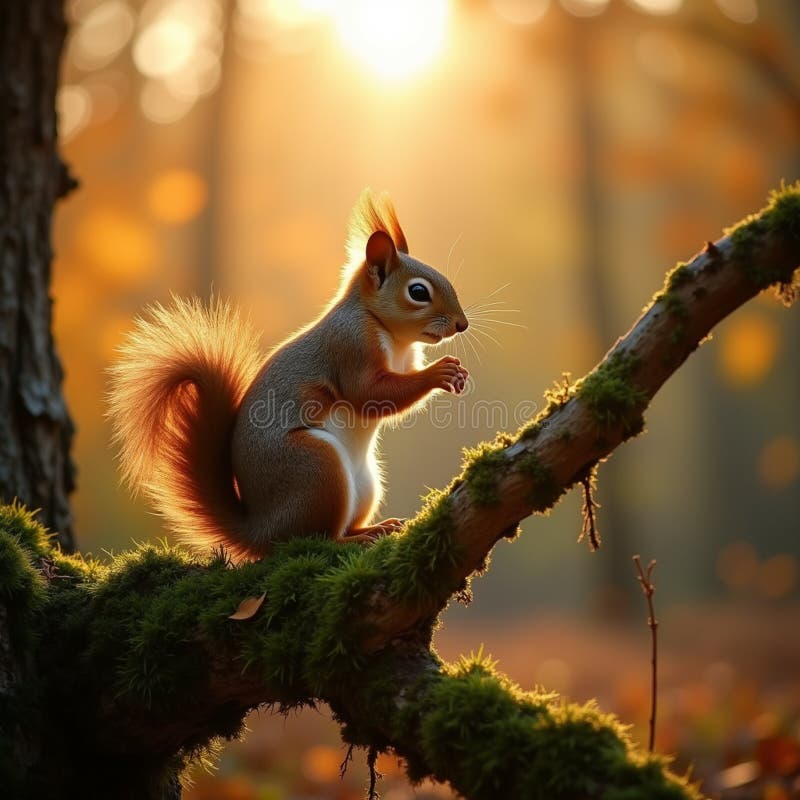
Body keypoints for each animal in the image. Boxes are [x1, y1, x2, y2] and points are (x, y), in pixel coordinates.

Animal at [108, 191, 469, 561]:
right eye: (418, 292)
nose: (462, 324)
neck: (392, 336)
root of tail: (260, 530)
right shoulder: (351, 345)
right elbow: (370, 394)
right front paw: (439, 373)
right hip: (315, 468)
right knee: (315, 537)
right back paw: (354, 539)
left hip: (365, 484)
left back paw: (375, 528)